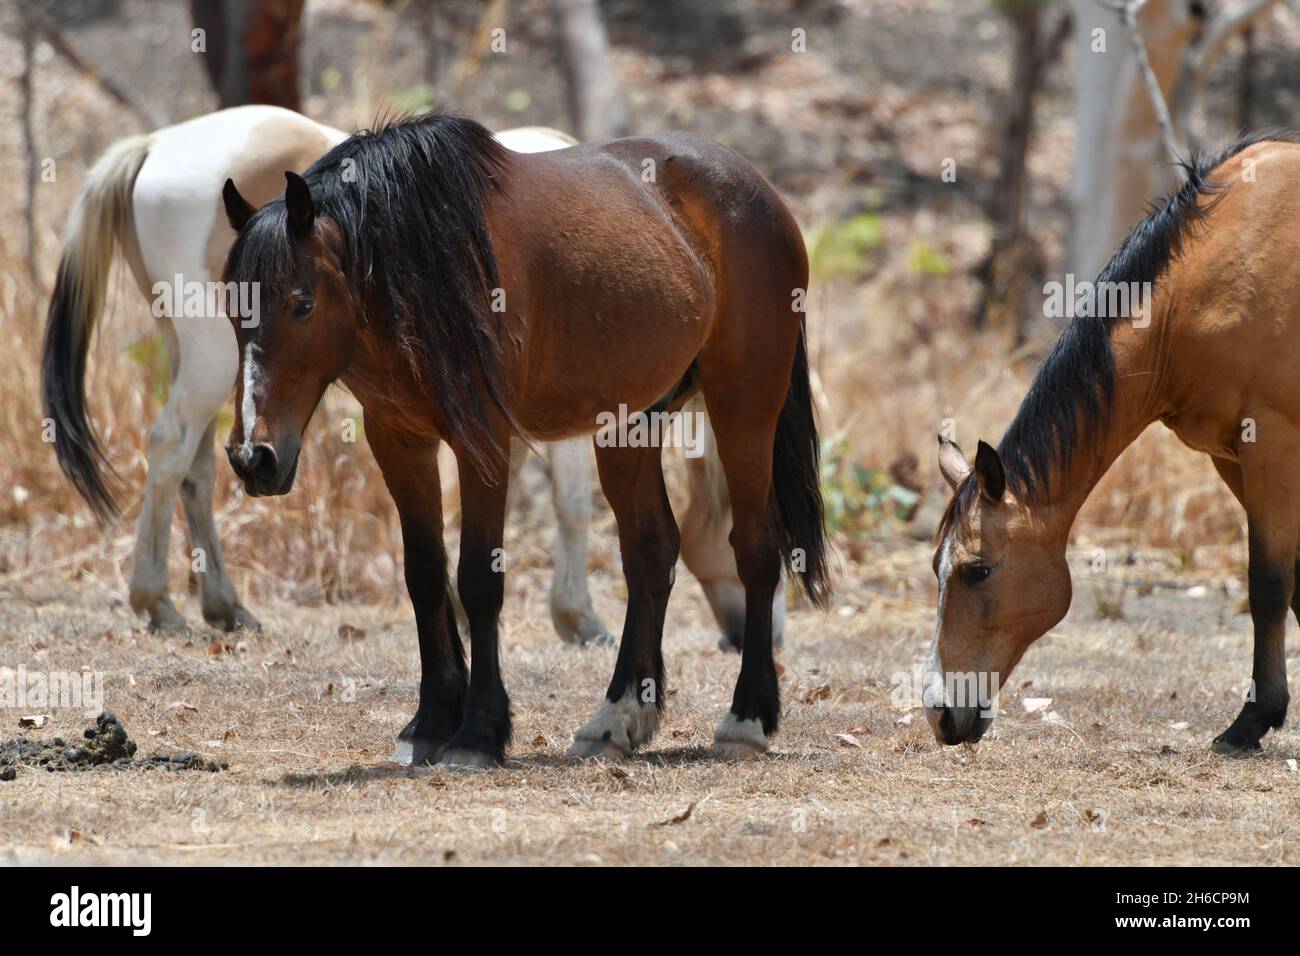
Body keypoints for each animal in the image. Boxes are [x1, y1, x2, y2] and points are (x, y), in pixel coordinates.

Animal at [42, 105, 774, 647]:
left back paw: (224, 606)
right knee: (170, 448)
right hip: (212, 358)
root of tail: (156, 144)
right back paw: (157, 601)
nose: (751, 632)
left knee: (194, 465)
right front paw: (577, 616)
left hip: (208, 362)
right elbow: (570, 502)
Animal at [220, 110, 829, 767]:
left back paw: (746, 719)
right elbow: (425, 575)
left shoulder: (483, 441)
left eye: (301, 303)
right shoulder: (399, 439)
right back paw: (616, 718)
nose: (254, 457)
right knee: (650, 551)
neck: (421, 260)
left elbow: (478, 580)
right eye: (231, 308)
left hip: (744, 405)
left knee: (755, 548)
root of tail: (760, 189)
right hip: (630, 423)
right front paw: (429, 723)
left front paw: (477, 733)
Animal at [926, 133, 1299, 755]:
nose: (938, 714)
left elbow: (1269, 584)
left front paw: (1250, 722)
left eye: (976, 571)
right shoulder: (1232, 455)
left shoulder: (1272, 442)